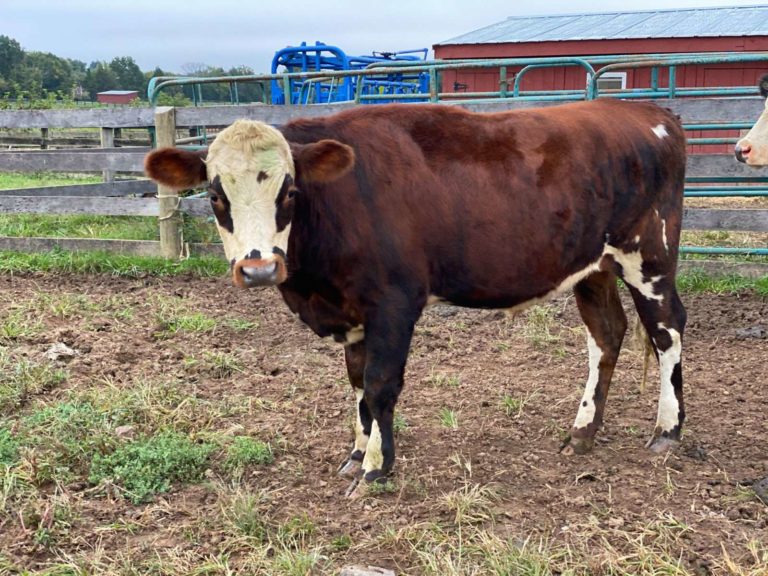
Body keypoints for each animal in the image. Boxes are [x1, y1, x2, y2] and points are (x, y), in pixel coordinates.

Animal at [145, 99, 688, 494]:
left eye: (290, 192)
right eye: (216, 195)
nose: (258, 268)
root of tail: (647, 111)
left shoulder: (393, 302)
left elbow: (380, 384)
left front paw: (376, 468)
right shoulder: (351, 312)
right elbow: (357, 384)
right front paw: (357, 452)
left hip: (649, 257)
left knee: (668, 331)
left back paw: (667, 431)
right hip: (593, 267)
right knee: (607, 335)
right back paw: (582, 432)